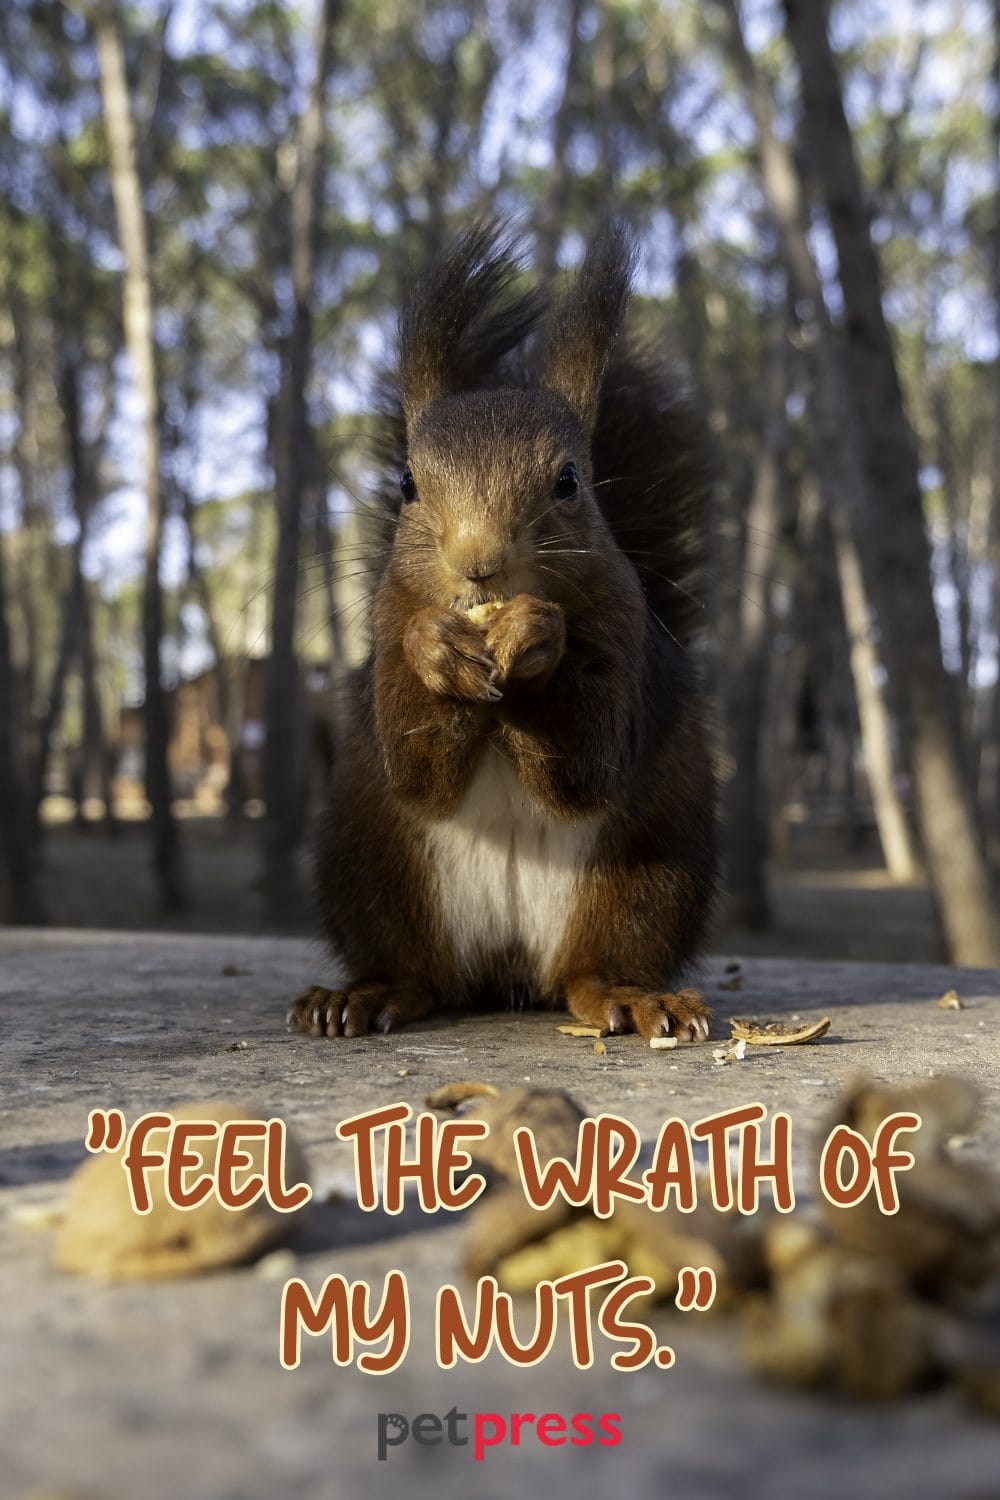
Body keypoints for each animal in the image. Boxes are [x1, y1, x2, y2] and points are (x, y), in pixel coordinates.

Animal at [287, 222, 719, 1043]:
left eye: (570, 481)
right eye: (407, 485)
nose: (477, 561)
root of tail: (508, 968)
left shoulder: (623, 632)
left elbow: (592, 763)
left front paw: (535, 637)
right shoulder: (385, 621)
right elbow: (415, 768)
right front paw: (437, 649)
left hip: (650, 874)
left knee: (600, 963)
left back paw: (633, 996)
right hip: (369, 868)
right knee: (413, 968)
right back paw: (363, 995)